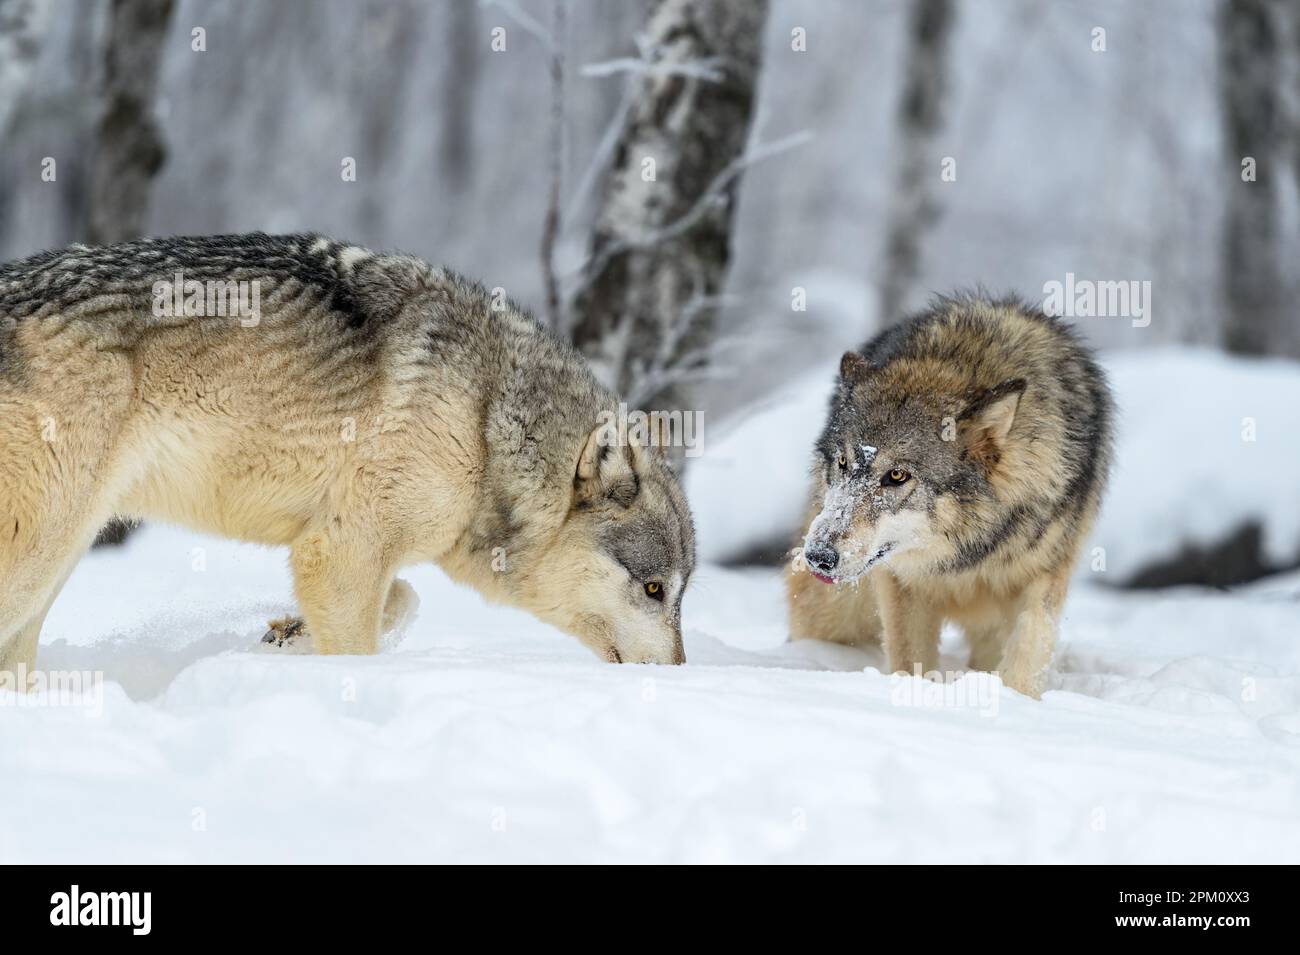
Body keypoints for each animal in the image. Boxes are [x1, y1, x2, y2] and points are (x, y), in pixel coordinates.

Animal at [0, 233, 694, 676]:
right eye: (654, 588)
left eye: (679, 595)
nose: (679, 675)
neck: (486, 417)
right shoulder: (342, 550)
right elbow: (364, 641)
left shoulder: (336, 552)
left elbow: (403, 601)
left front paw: (286, 640)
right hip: (43, 547)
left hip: (64, 553)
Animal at [786, 295, 1113, 698]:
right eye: (843, 461)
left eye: (897, 476)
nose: (819, 557)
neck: (966, 554)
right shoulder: (902, 586)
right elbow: (911, 660)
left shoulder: (1045, 575)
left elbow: (1028, 651)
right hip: (834, 612)